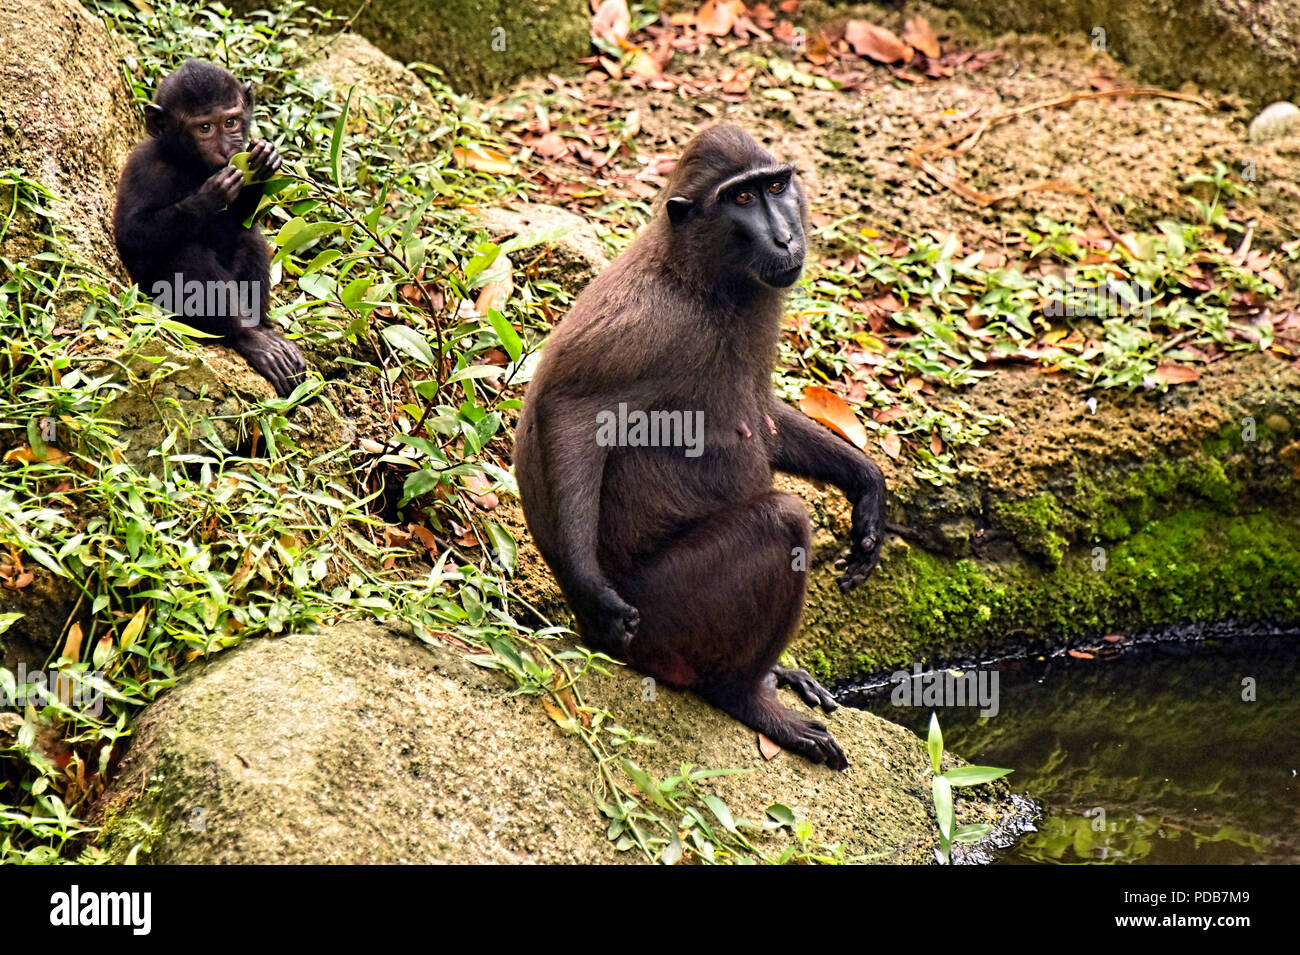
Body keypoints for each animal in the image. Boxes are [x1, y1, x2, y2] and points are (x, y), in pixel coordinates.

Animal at [113, 60, 305, 397]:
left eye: (230, 121)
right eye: (205, 128)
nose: (227, 147)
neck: (189, 163)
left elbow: (238, 226)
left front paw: (264, 161)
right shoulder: (145, 167)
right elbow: (131, 234)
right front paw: (209, 196)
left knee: (250, 240)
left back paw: (263, 327)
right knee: (187, 254)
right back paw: (249, 337)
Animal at [514, 126, 886, 770]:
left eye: (775, 187)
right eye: (740, 199)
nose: (786, 237)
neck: (701, 280)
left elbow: (760, 416)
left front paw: (866, 486)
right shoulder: (645, 323)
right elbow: (566, 409)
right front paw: (592, 590)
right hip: (667, 624)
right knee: (782, 522)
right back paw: (746, 695)